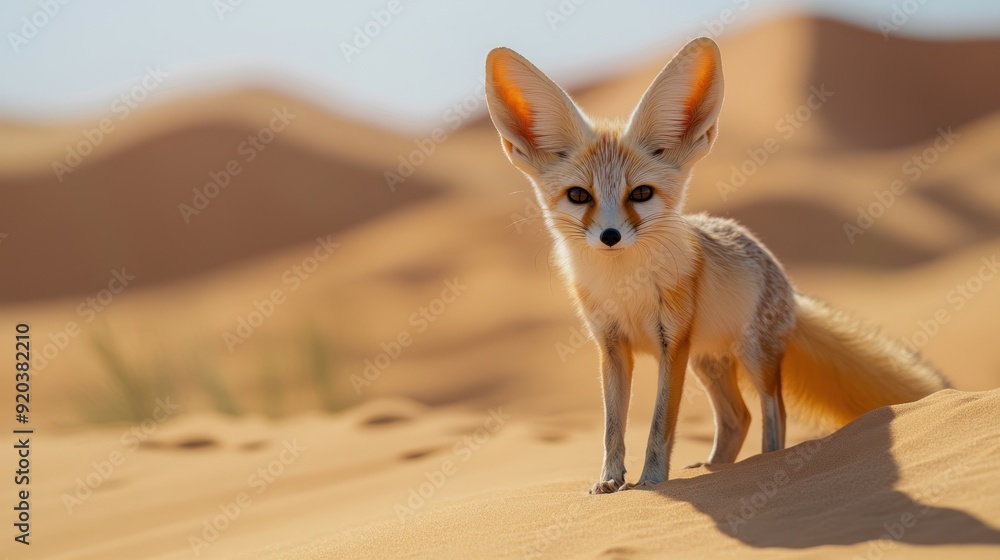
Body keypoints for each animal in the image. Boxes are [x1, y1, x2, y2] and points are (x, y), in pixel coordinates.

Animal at [483, 37, 949, 494]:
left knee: (773, 413)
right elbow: (612, 428)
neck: (625, 287)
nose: (610, 237)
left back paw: (762, 462)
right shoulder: (612, 346)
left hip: (753, 357)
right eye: (579, 196)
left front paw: (651, 481)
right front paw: (610, 480)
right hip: (709, 362)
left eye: (641, 194)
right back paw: (713, 468)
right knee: (737, 417)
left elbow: (660, 425)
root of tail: (783, 278)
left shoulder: (672, 343)